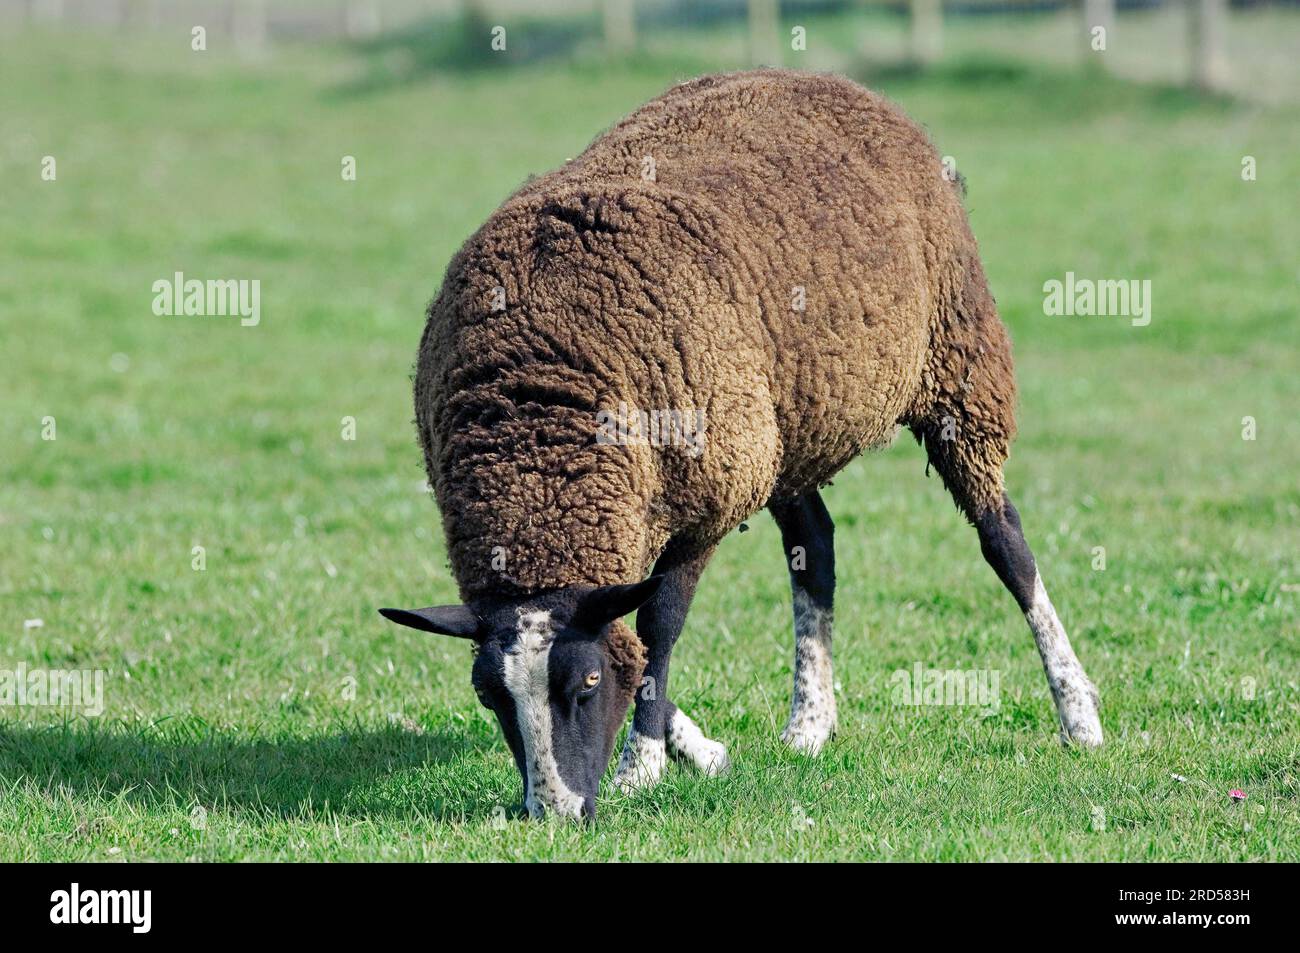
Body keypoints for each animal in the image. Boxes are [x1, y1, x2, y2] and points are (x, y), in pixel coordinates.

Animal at [380, 69, 1103, 820]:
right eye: (488, 695)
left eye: (585, 685)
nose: (554, 815)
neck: (539, 430)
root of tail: (827, 80)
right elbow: (635, 641)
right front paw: (703, 751)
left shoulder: (705, 500)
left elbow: (656, 629)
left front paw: (643, 764)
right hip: (785, 428)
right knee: (815, 547)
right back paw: (809, 724)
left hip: (960, 365)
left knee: (1005, 541)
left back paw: (1077, 712)